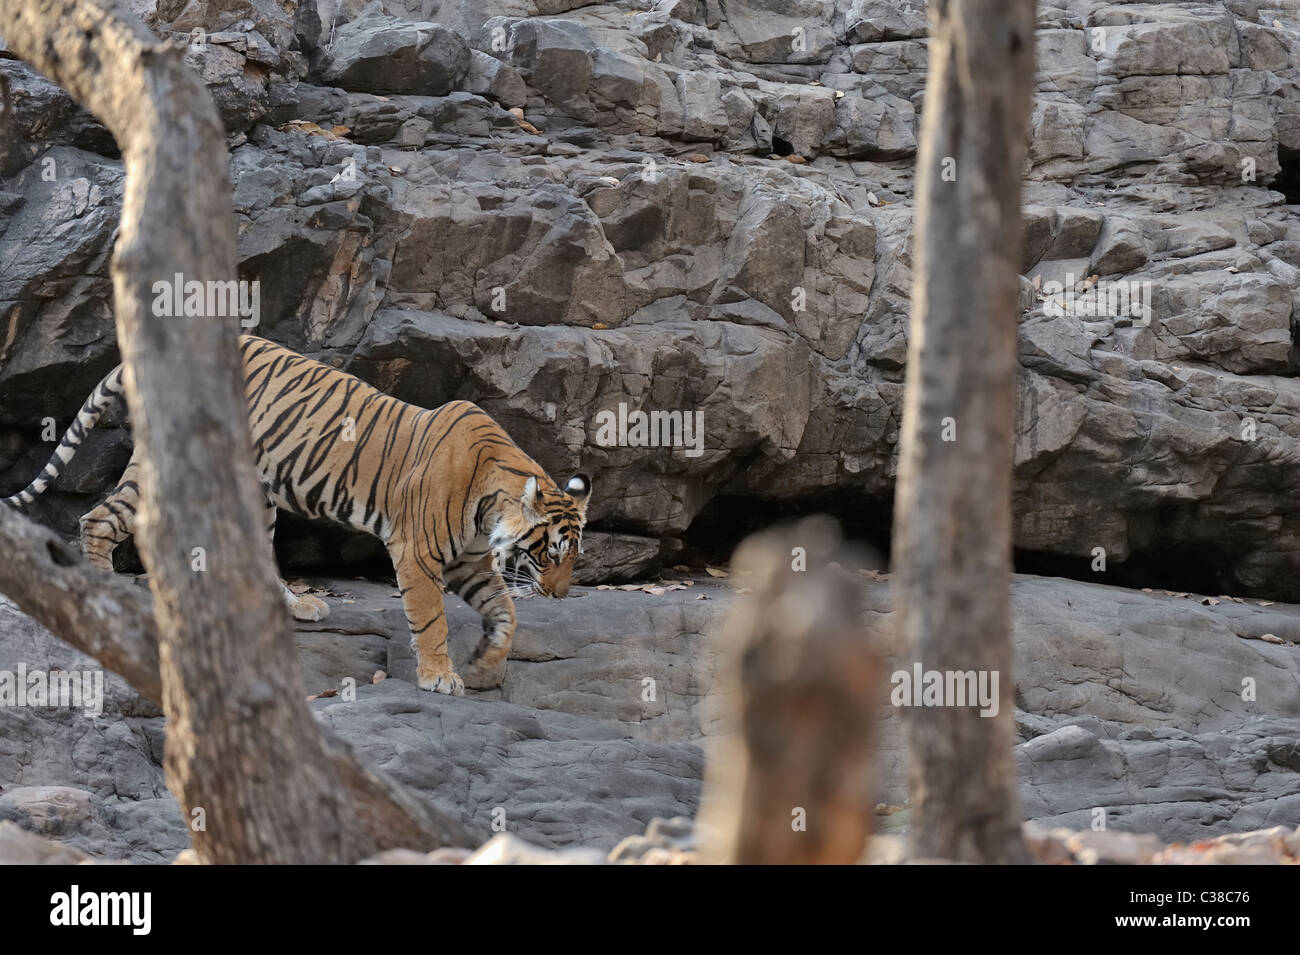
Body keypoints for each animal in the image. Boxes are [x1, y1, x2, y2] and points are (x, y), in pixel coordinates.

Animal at [2, 334, 591, 696]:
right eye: (549, 554)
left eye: (573, 557)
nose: (563, 598)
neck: (490, 505)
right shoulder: (417, 552)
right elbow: (431, 619)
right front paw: (439, 675)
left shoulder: (470, 561)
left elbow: (506, 613)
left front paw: (487, 668)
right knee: (96, 520)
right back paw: (101, 598)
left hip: (254, 492)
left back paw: (297, 606)